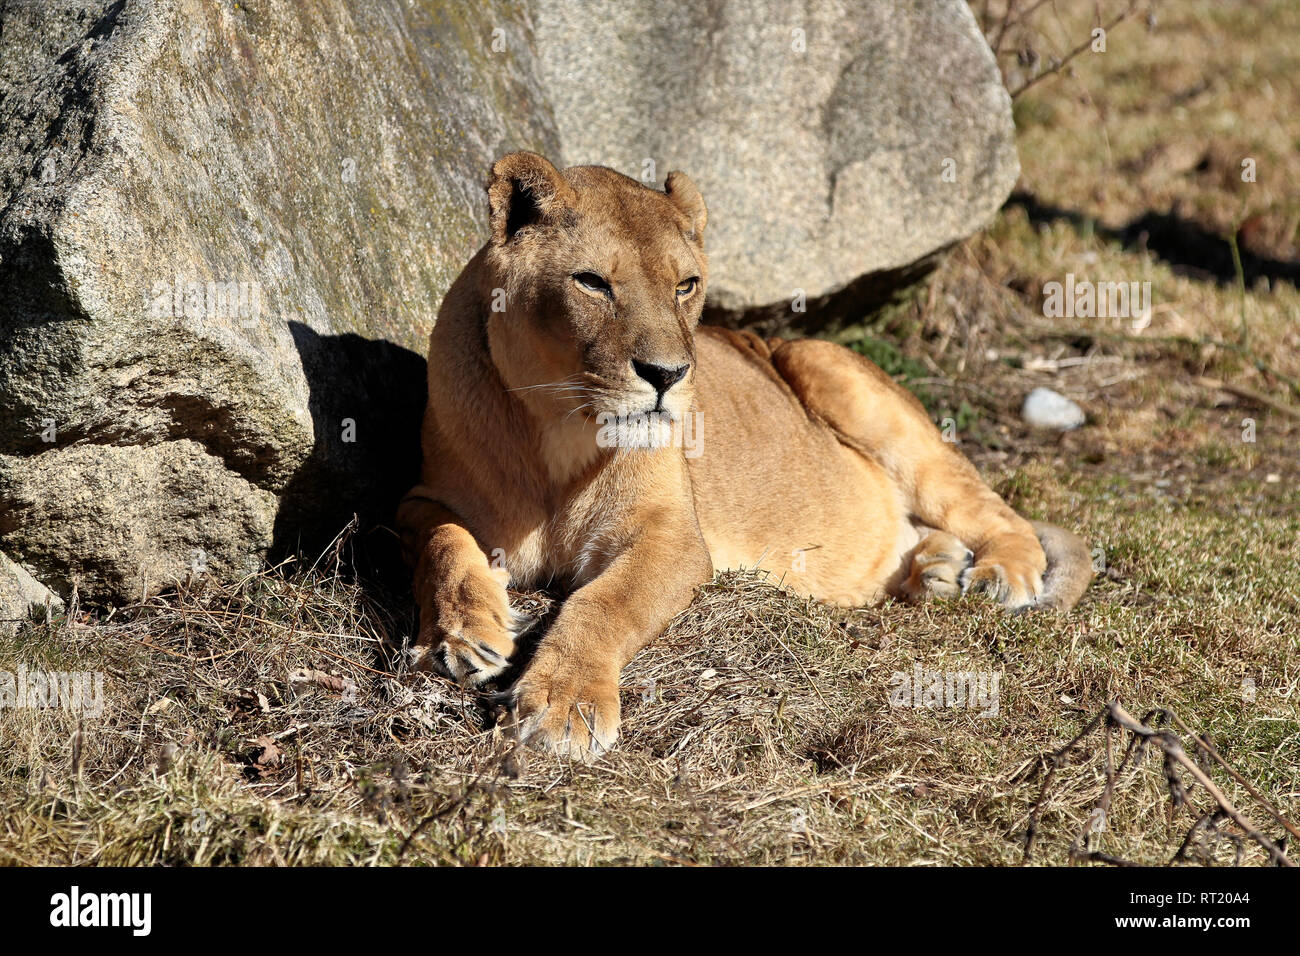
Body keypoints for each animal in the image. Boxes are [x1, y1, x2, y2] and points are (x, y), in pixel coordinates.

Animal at [397, 151, 1093, 758]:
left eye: (686, 285)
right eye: (592, 283)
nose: (668, 375)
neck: (557, 432)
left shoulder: (674, 538)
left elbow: (603, 605)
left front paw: (563, 703)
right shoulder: (425, 498)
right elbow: (445, 546)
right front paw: (466, 635)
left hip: (824, 363)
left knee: (993, 508)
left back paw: (998, 573)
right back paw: (938, 568)